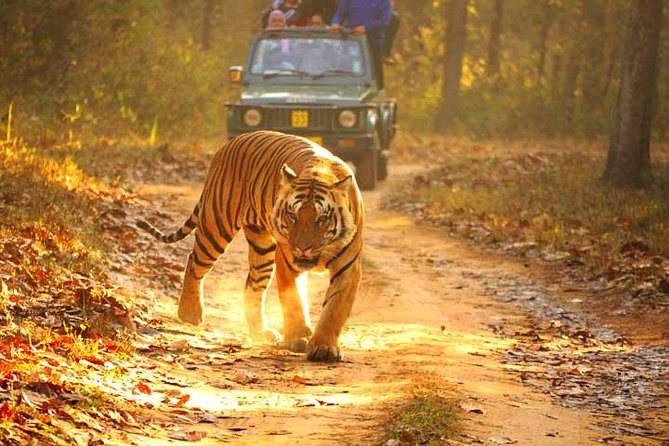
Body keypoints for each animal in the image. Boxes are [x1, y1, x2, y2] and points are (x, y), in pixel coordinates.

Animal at [136, 130, 364, 362]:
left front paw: (323, 347)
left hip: (261, 249)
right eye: (292, 215)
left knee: (252, 286)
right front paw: (297, 338)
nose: (302, 247)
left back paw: (261, 332)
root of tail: (230, 143)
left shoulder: (348, 267)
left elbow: (334, 309)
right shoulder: (287, 261)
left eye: (322, 219)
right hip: (216, 225)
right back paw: (190, 313)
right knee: (194, 261)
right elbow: (293, 301)